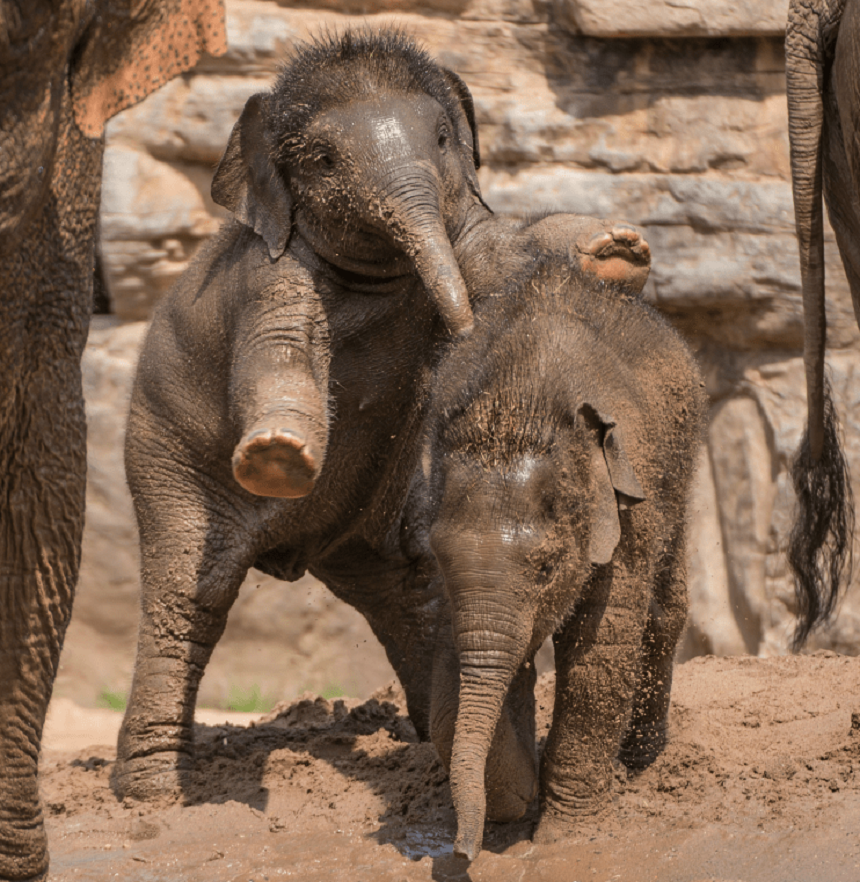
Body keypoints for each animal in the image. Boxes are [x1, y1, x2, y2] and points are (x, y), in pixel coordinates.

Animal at [112, 28, 659, 804]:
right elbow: (277, 356)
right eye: (323, 161)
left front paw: (615, 251)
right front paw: (277, 455)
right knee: (189, 593)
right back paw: (154, 795)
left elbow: (496, 249)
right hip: (162, 454)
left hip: (374, 520)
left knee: (409, 593)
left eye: (443, 138)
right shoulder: (275, 279)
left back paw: (443, 756)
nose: (464, 334)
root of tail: (296, 550)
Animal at [417, 250, 707, 860]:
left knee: (664, 603)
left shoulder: (625, 510)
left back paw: (640, 762)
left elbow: (602, 646)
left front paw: (564, 833)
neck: (517, 408)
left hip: (681, 459)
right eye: (440, 561)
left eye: (548, 569)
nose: (461, 852)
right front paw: (519, 792)